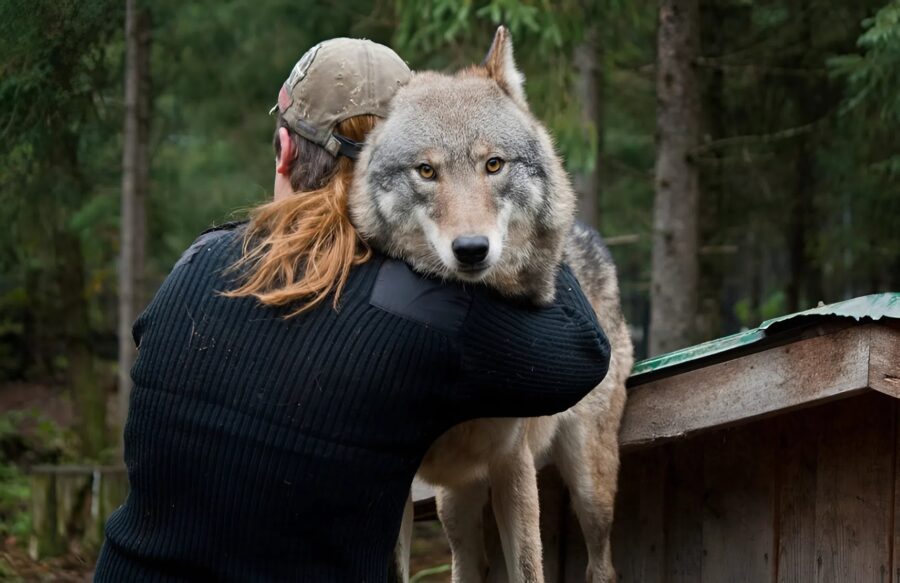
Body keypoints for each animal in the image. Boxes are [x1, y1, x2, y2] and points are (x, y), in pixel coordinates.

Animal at [349, 26, 633, 583]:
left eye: (493, 164)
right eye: (426, 171)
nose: (471, 249)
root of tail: (590, 236)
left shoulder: (511, 462)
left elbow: (528, 568)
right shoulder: (389, 481)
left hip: (590, 483)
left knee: (601, 562)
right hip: (453, 506)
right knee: (469, 563)